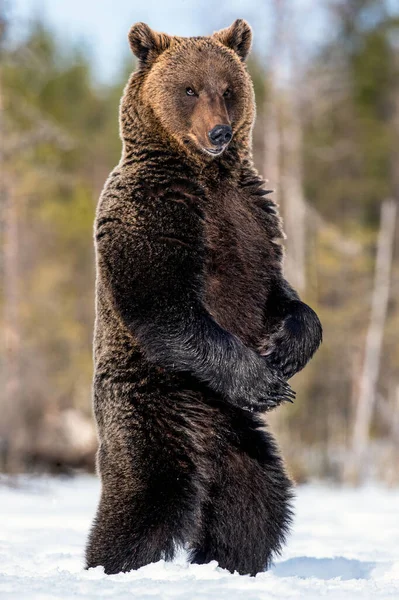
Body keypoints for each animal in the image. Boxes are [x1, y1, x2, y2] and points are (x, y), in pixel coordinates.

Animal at [86, 19, 324, 576]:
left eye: (227, 89)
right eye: (189, 89)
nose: (219, 133)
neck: (204, 176)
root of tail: (205, 440)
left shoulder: (254, 219)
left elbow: (282, 296)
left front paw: (286, 350)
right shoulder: (151, 214)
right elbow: (164, 302)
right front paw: (263, 381)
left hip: (240, 438)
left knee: (257, 502)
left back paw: (231, 562)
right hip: (152, 408)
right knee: (147, 499)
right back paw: (108, 564)